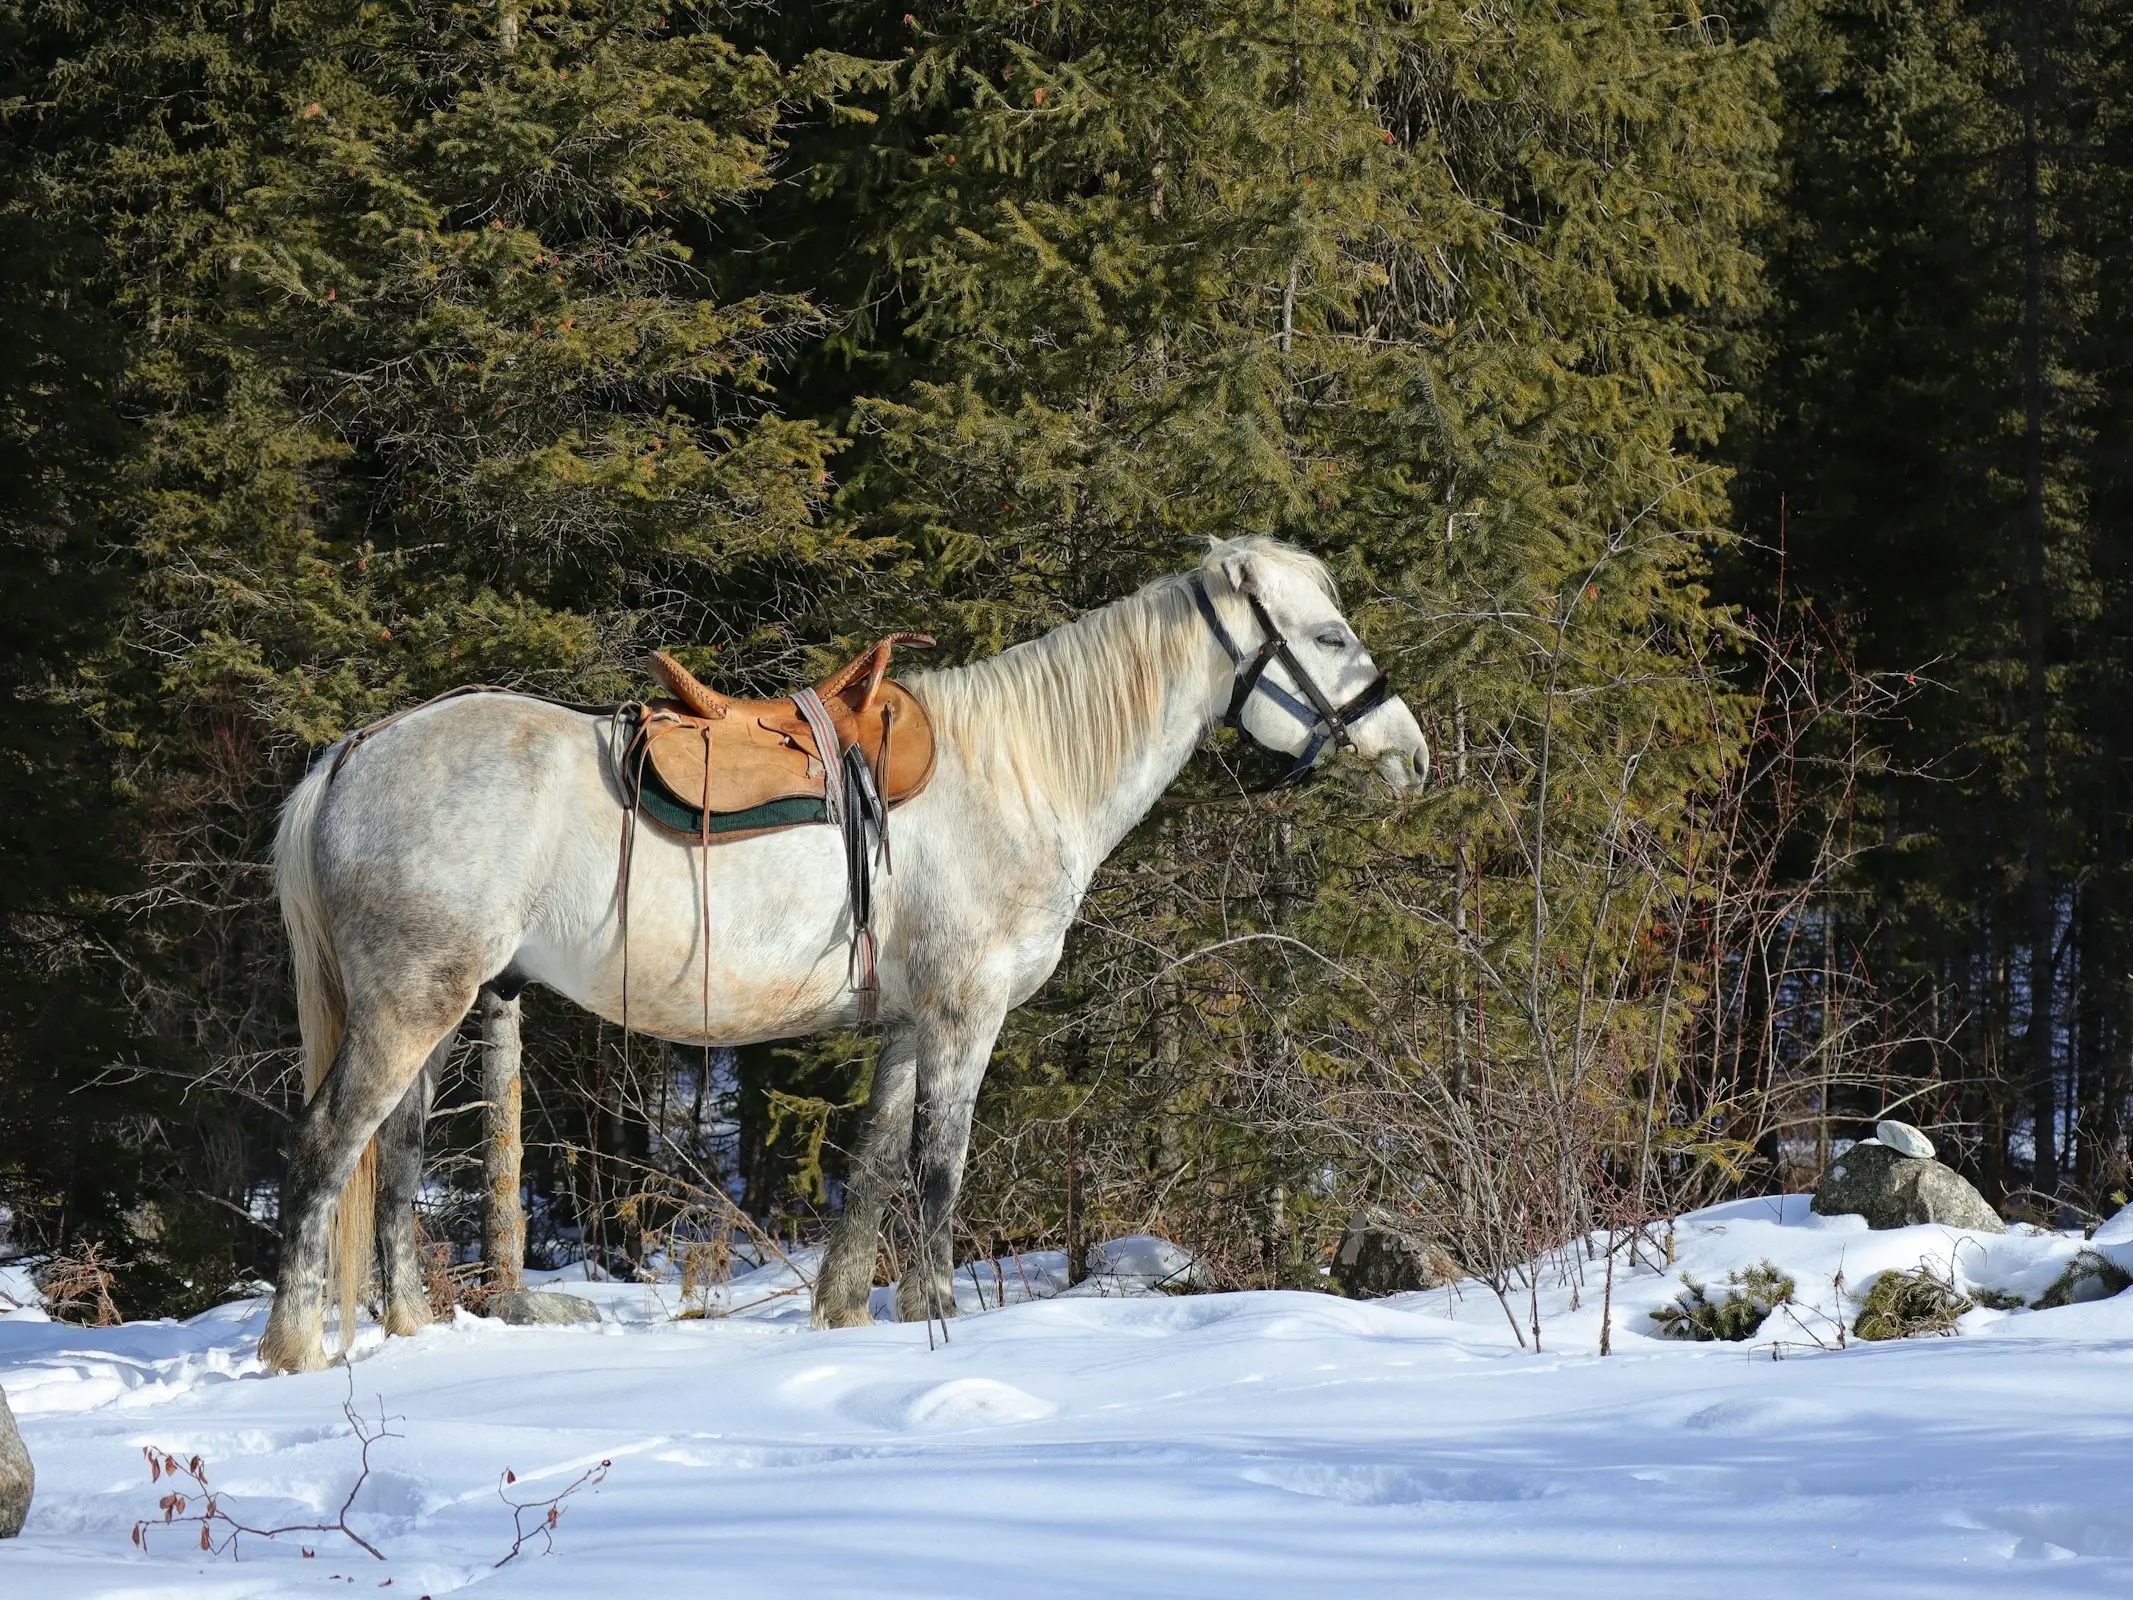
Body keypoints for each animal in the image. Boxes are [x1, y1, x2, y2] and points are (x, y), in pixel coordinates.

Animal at [259, 537, 1428, 1372]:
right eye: (1329, 635)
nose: (1410, 754)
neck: (1021, 772)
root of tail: (358, 750)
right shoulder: (964, 1012)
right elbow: (938, 1168)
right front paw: (939, 1314)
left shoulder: (907, 1023)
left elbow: (868, 1168)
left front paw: (849, 1319)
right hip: (413, 1004)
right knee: (323, 1150)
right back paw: (294, 1348)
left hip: (427, 1009)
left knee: (397, 1158)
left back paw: (412, 1335)